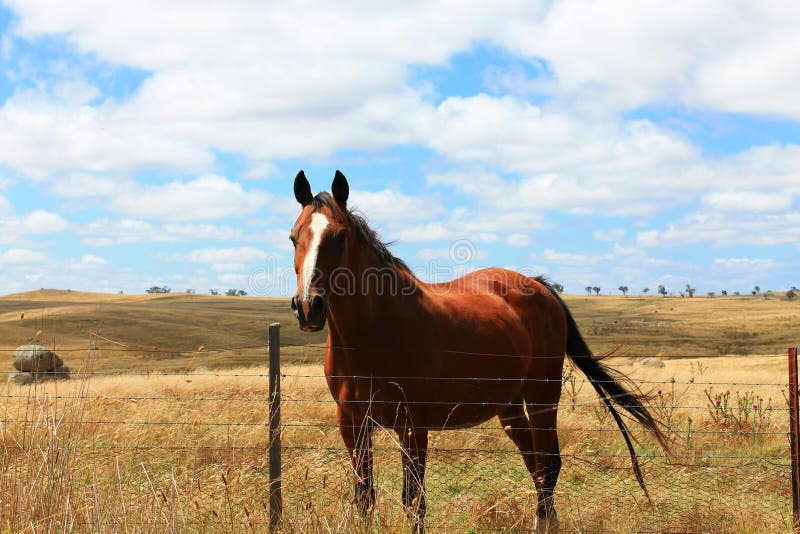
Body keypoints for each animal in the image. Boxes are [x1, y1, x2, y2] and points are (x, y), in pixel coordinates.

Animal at [289, 170, 668, 533]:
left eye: (340, 236)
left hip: (543, 396)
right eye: (293, 237)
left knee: (549, 464)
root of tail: (540, 287)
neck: (374, 330)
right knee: (536, 464)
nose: (308, 307)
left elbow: (414, 502)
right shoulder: (353, 423)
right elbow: (364, 497)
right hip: (510, 407)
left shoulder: (412, 425)